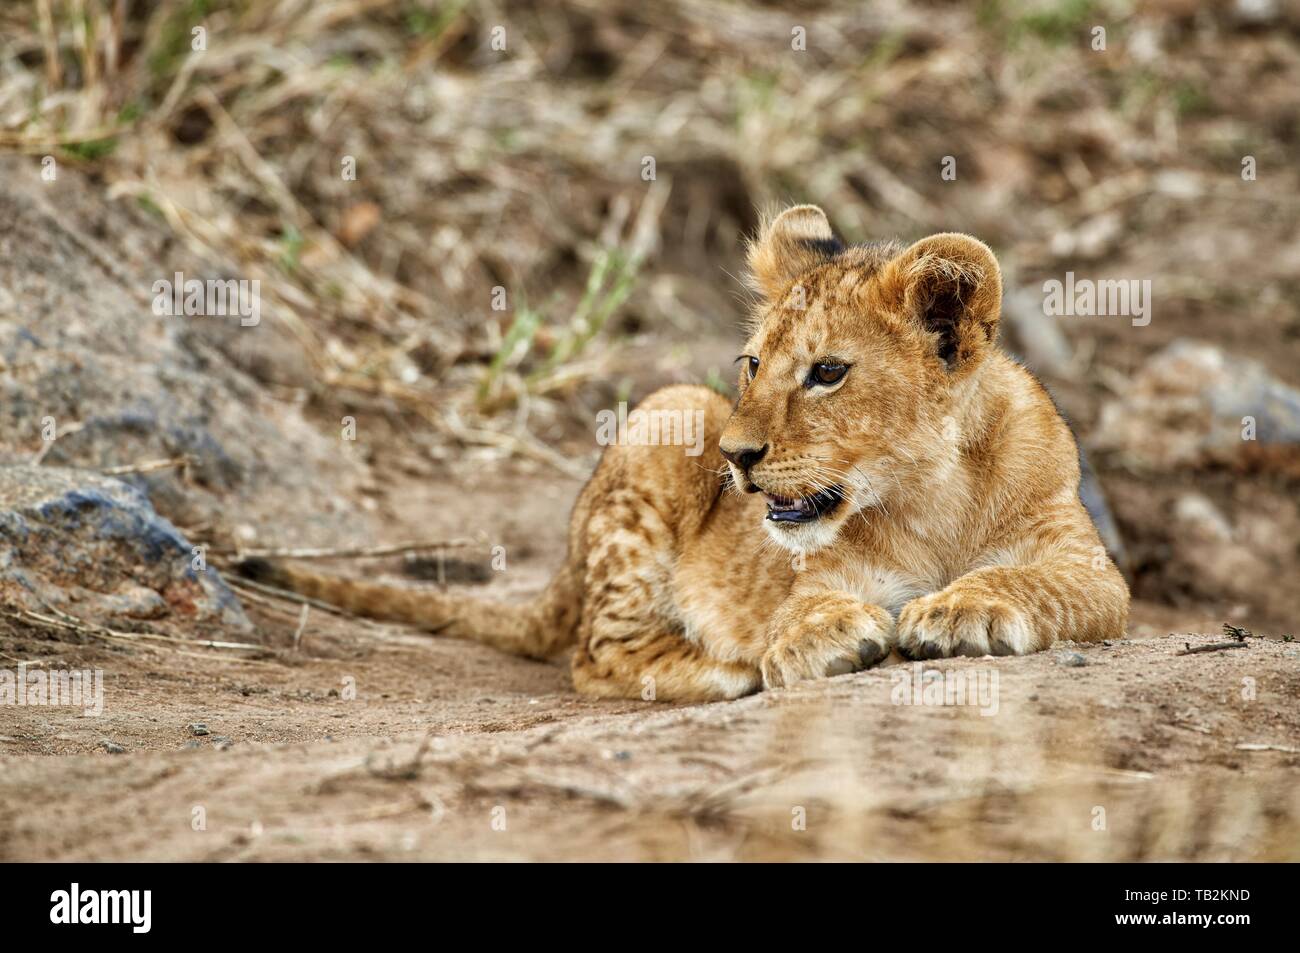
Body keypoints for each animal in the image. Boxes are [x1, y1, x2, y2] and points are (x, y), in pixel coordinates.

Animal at [239, 204, 1130, 702]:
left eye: (828, 373)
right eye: (752, 363)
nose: (735, 458)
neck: (930, 493)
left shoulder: (1093, 570)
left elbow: (1034, 579)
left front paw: (958, 607)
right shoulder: (820, 576)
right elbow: (800, 611)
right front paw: (819, 640)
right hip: (663, 417)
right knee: (596, 654)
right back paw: (721, 669)